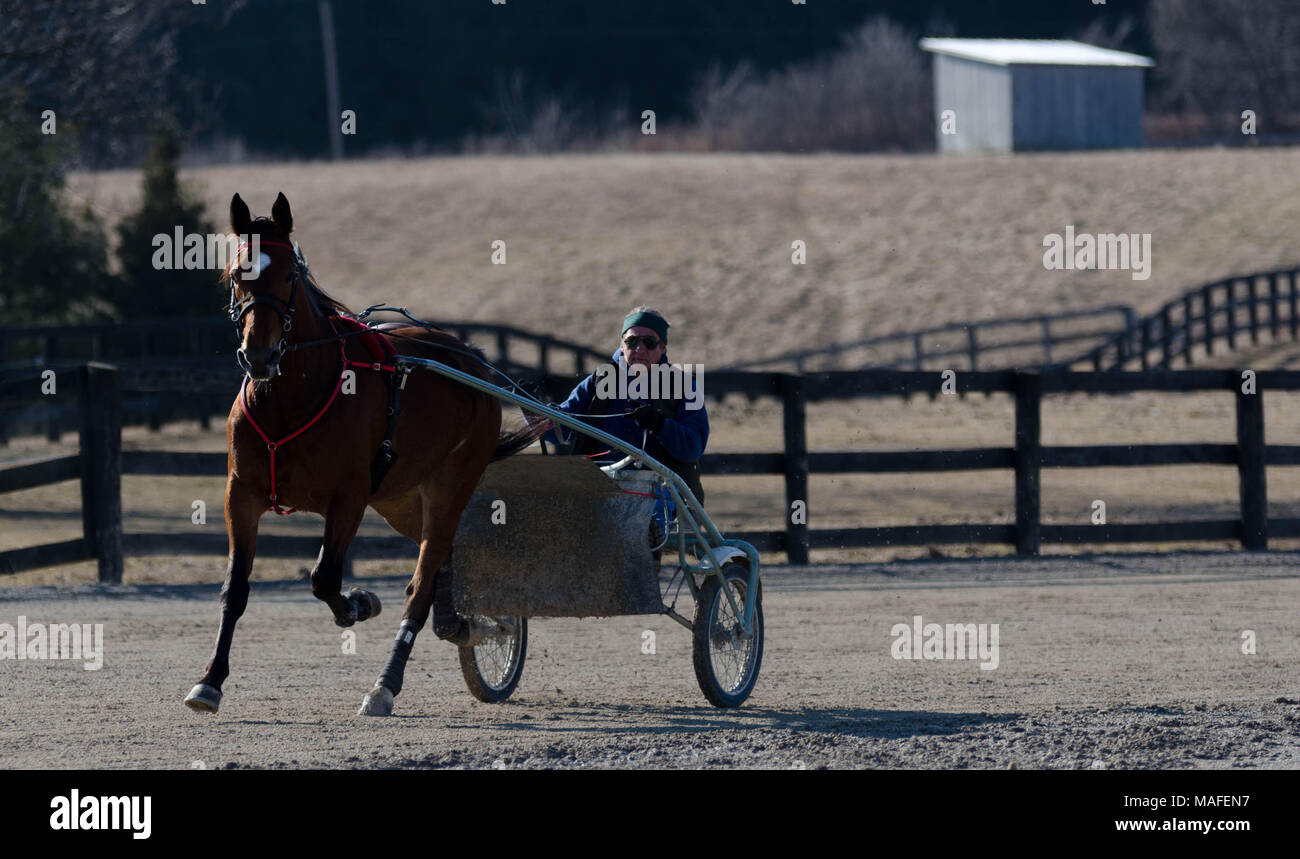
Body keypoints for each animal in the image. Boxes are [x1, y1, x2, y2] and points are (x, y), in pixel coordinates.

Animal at [184, 192, 537, 717]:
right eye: (234, 275)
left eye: (287, 276)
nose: (260, 356)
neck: (290, 400)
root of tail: (473, 360)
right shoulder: (241, 494)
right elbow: (236, 589)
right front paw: (209, 682)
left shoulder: (348, 497)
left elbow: (325, 578)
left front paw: (359, 602)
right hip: (400, 499)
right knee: (440, 559)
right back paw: (463, 624)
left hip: (451, 482)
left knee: (421, 583)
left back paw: (386, 684)